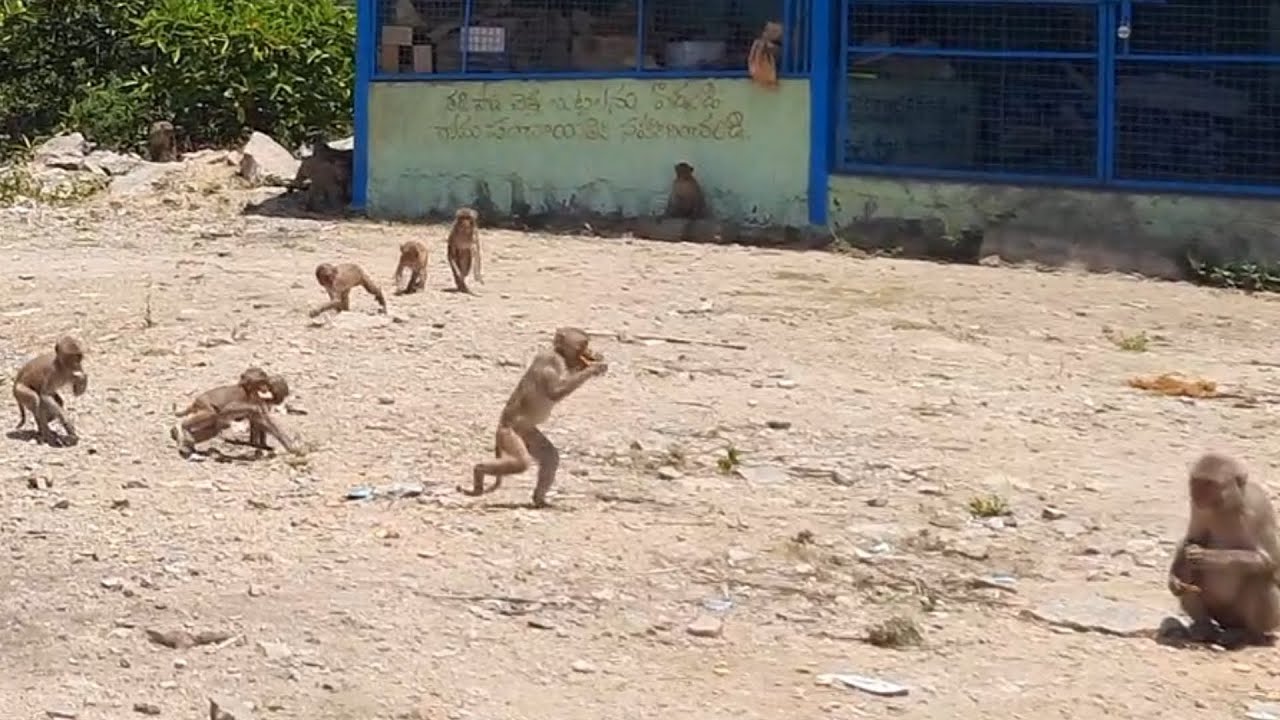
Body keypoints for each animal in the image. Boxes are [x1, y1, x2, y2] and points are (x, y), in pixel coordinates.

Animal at [462, 327, 608, 508]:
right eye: (584, 343)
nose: (590, 351)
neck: (558, 352)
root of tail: (501, 424)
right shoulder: (553, 361)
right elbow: (555, 392)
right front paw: (594, 367)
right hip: (508, 434)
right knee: (521, 462)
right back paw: (479, 470)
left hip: (526, 432)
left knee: (550, 457)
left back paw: (539, 499)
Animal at [1167, 452, 1280, 645]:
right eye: (1196, 481)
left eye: (1209, 484)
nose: (1197, 494)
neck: (1227, 507)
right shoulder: (1198, 508)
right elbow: (1192, 539)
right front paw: (1174, 577)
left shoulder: (1258, 507)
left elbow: (1268, 560)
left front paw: (1204, 556)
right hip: (1217, 613)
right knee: (1190, 573)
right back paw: (1204, 628)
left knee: (1259, 578)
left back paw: (1249, 634)